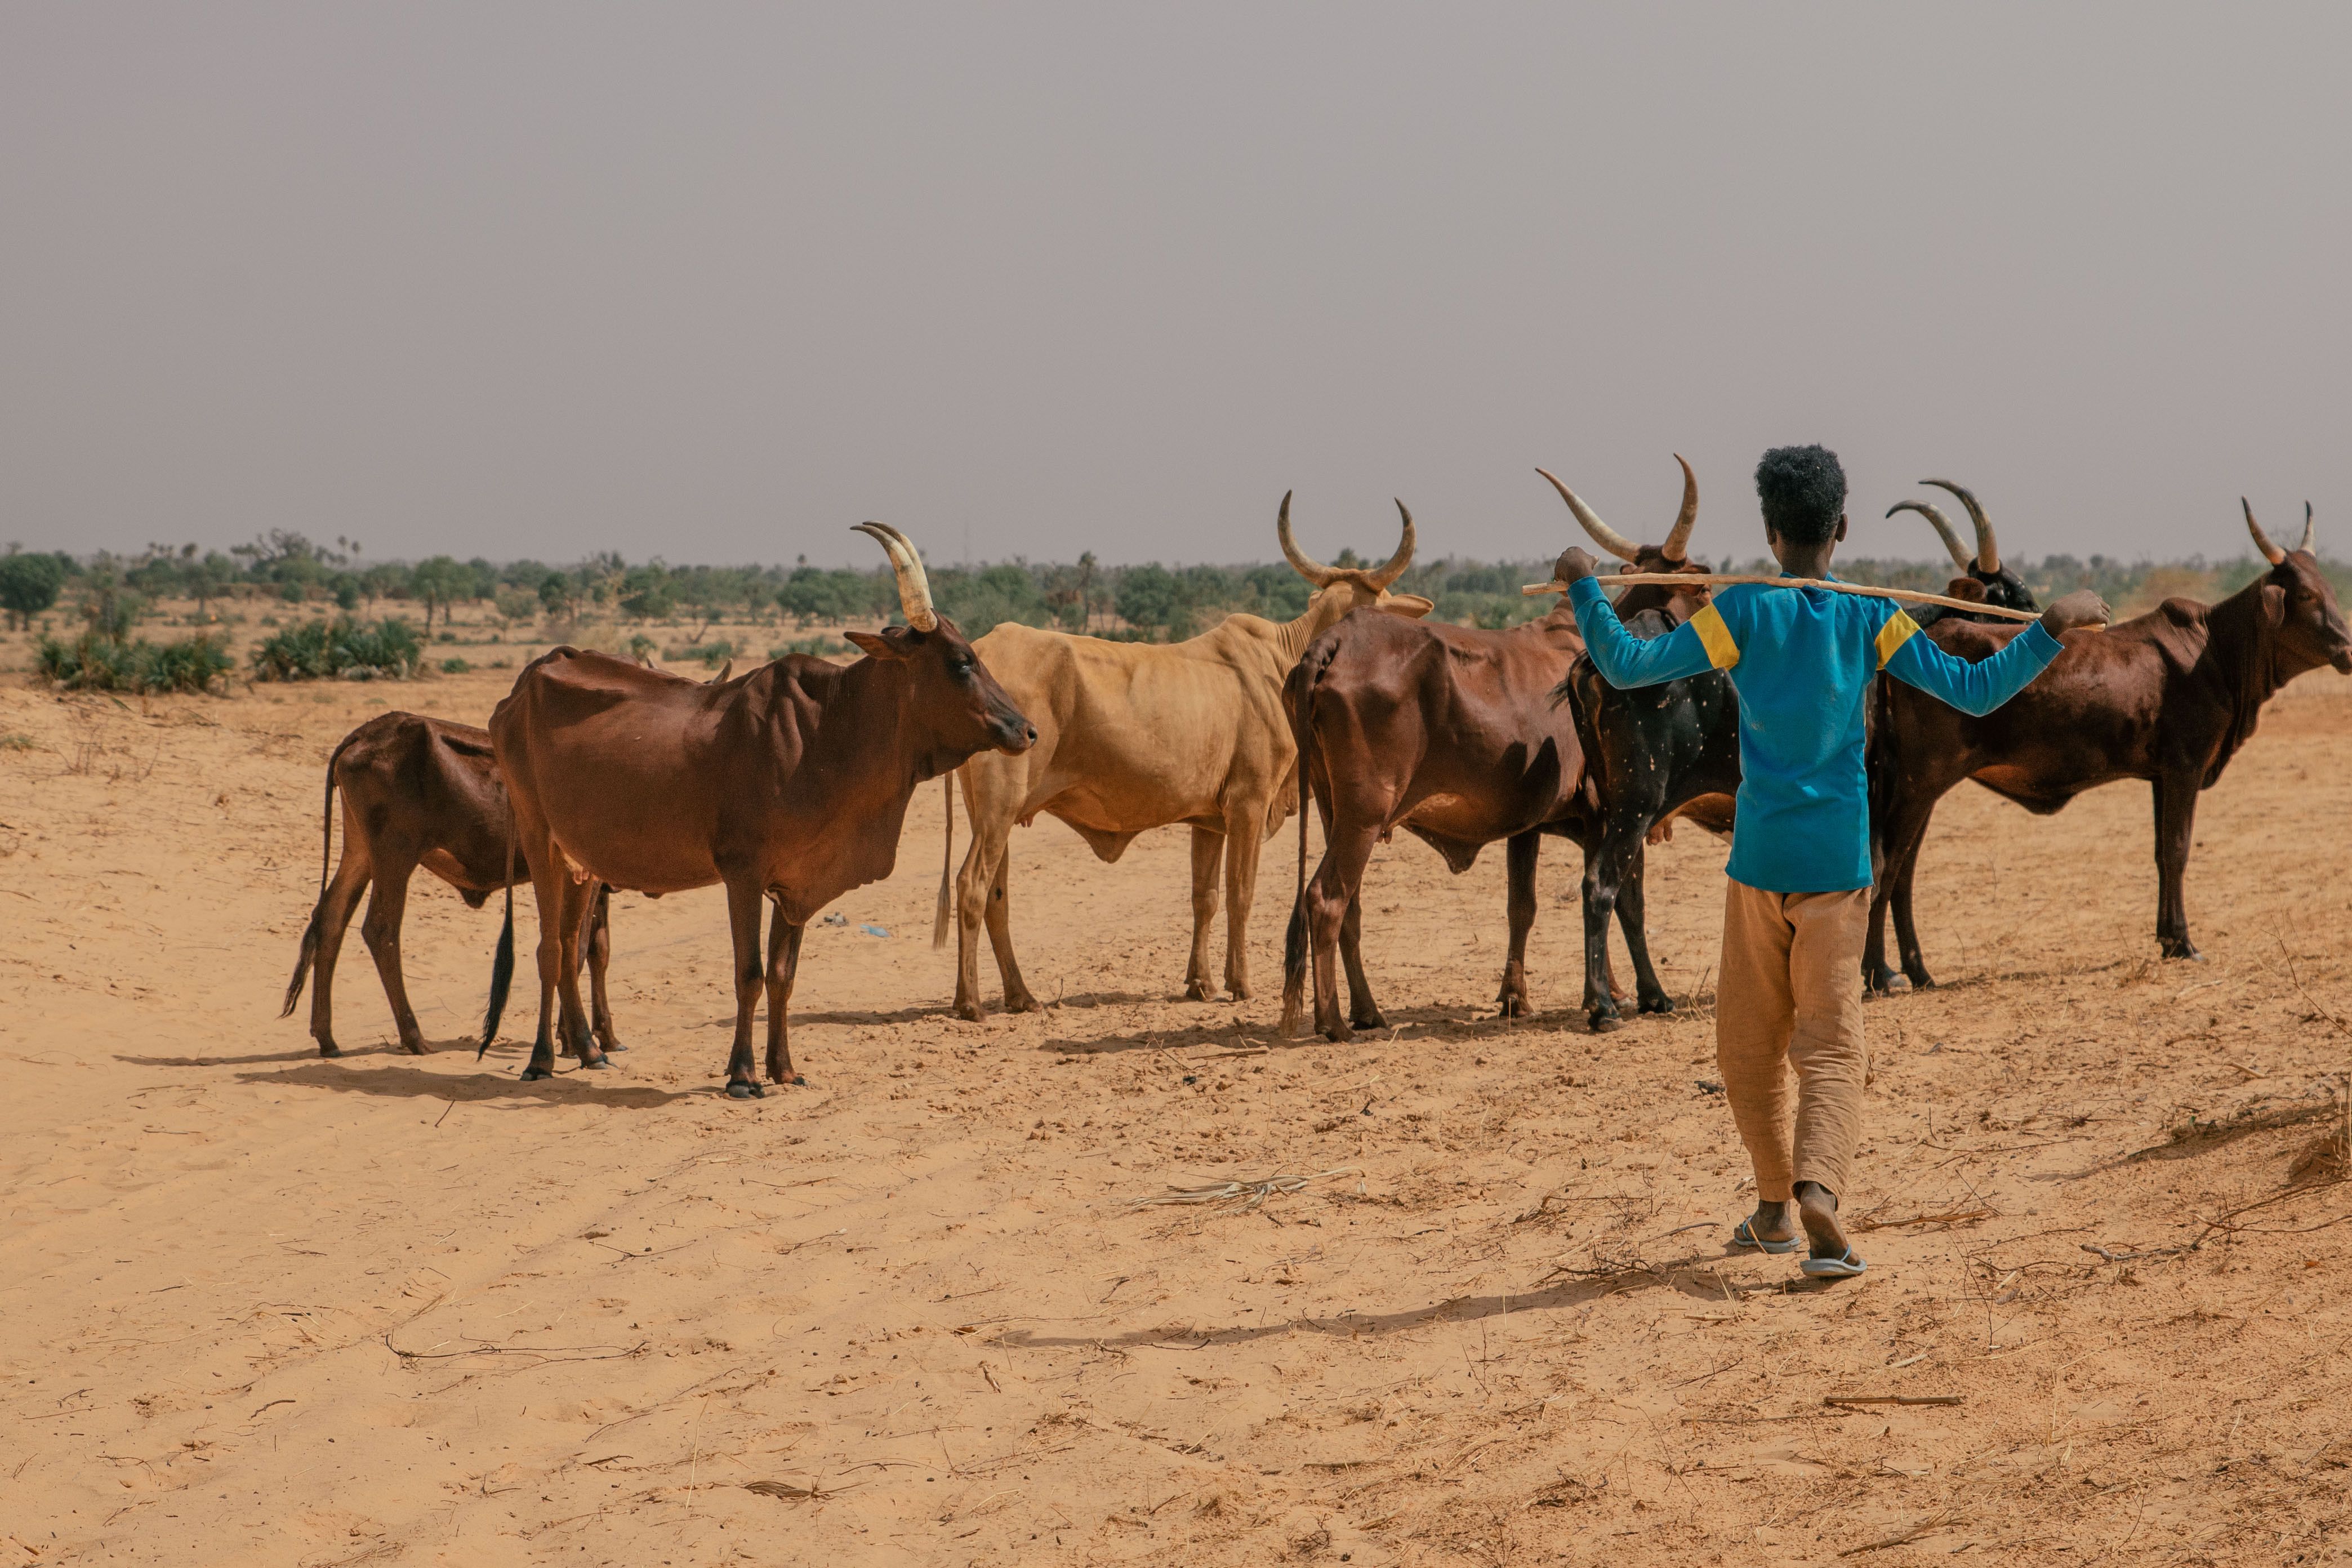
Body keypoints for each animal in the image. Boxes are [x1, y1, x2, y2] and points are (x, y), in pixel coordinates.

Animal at [279, 711, 619, 1059]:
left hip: (360, 853)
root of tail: (367, 732)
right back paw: (414, 1037)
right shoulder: (582, 875)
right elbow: (577, 950)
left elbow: (599, 950)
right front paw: (575, 1041)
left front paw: (605, 1036)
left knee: (330, 921)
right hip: (395, 856)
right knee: (381, 930)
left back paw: (327, 1038)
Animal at [480, 524, 1036, 1096]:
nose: (1026, 730)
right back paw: (541, 1059)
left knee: (570, 945)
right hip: (539, 841)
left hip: (580, 862)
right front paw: (744, 1074)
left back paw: (591, 1052)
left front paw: (784, 1068)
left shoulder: (796, 884)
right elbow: (749, 975)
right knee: (549, 951)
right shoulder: (743, 876)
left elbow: (783, 978)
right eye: (961, 662)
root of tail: (524, 685)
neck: (828, 731)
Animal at [942, 498, 1432, 1019]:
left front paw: (1201, 982)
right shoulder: (1248, 804)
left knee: (996, 896)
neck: (1284, 662)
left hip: (992, 815)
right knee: (972, 887)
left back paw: (1020, 995)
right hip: (999, 809)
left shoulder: (1208, 819)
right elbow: (1241, 893)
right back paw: (970, 1002)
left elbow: (1206, 896)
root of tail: (982, 650)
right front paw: (1241, 983)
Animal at [1277, 459, 1705, 1043]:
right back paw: (1334, 1022)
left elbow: (1522, 906)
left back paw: (1367, 1011)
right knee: (1327, 899)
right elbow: (1622, 900)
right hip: (1364, 812)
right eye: (1703, 587)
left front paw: (1515, 997)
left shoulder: (1529, 825)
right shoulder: (1615, 811)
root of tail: (1334, 640)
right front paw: (1625, 994)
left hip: (1331, 808)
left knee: (1351, 907)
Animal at [1865, 501, 2351, 992]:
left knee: (1903, 872)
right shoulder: (2185, 768)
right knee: (1886, 864)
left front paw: (2167, 940)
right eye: (2306, 595)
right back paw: (1877, 974)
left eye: (2329, 589)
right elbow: (2178, 850)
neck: (2215, 648)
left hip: (1917, 787)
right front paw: (2184, 943)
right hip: (1920, 783)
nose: (2349, 649)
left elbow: (2161, 853)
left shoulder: (2160, 777)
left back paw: (1918, 971)